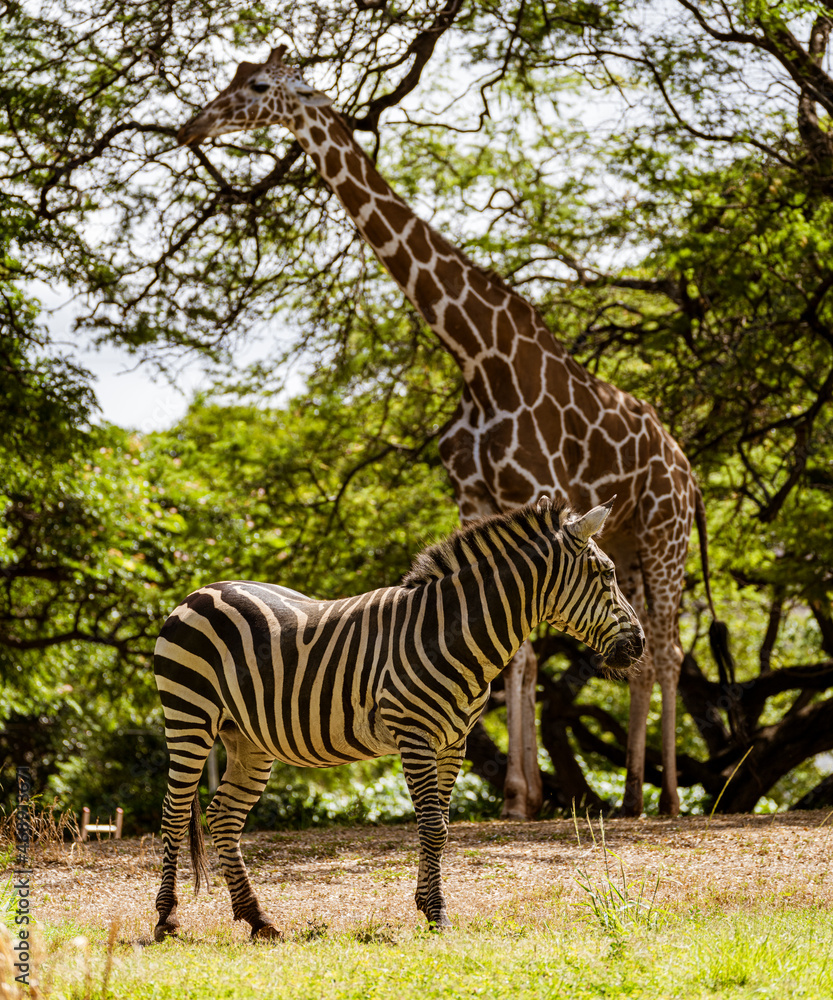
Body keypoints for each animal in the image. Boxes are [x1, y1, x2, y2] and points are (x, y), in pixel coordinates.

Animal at [153, 496, 643, 940]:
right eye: (607, 574)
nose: (638, 644)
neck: (449, 632)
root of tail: (201, 591)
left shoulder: (454, 742)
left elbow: (440, 826)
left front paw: (428, 906)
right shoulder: (415, 735)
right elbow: (431, 826)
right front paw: (438, 914)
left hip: (248, 739)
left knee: (223, 816)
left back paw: (258, 919)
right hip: (189, 717)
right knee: (174, 812)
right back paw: (167, 919)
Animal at [177, 45, 731, 818]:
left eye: (256, 87)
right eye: (232, 76)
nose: (192, 126)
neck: (476, 354)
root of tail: (689, 474)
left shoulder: (534, 492)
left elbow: (524, 646)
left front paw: (521, 795)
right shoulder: (475, 499)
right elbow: (512, 645)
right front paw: (520, 795)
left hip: (663, 533)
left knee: (668, 649)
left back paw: (665, 796)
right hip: (622, 539)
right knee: (647, 652)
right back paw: (629, 793)